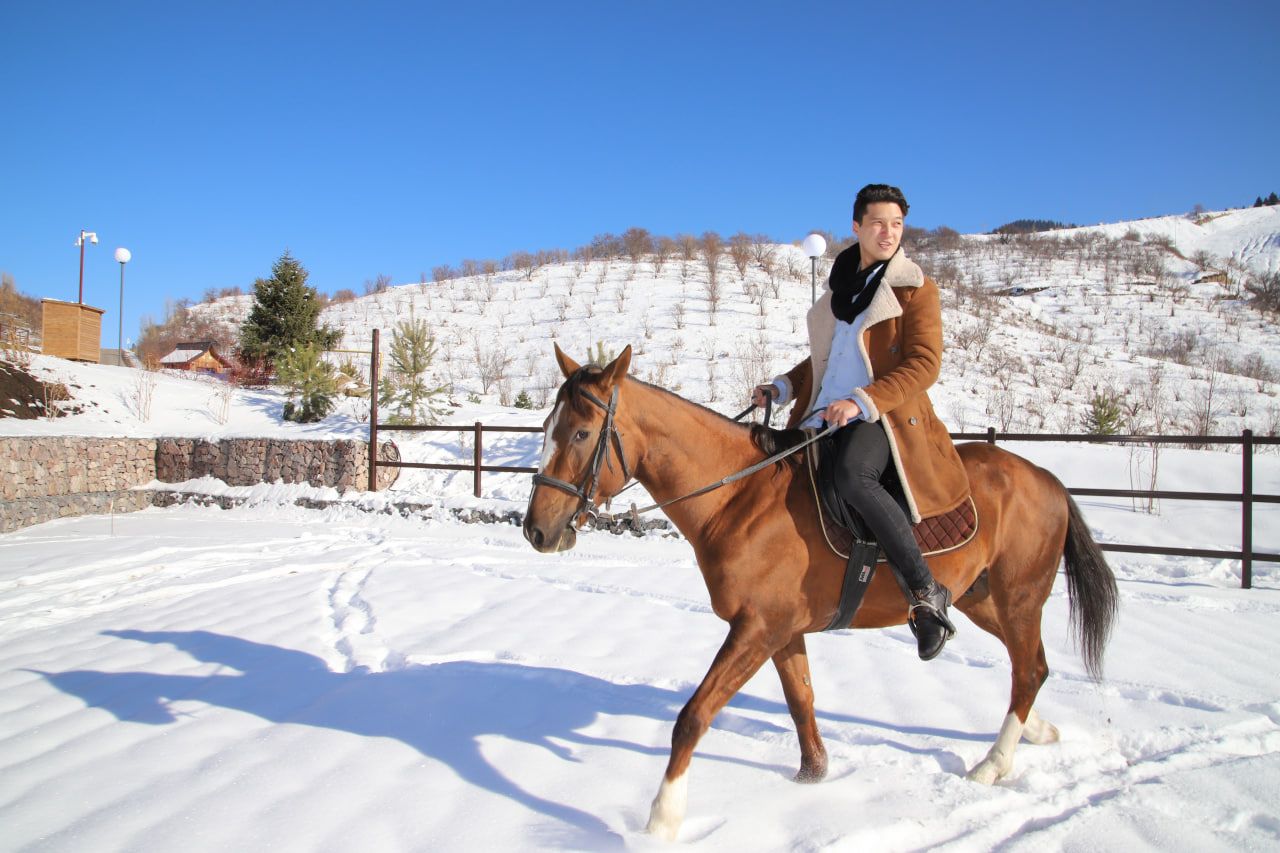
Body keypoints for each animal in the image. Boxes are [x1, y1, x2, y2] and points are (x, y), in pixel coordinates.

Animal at [522, 344, 1118, 842]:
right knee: (1030, 666)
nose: (537, 532)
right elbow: (801, 700)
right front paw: (813, 777)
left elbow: (693, 716)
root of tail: (1046, 478)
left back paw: (994, 763)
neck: (738, 498)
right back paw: (1036, 732)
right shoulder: (781, 631)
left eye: (581, 434)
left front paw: (662, 820)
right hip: (982, 598)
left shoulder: (756, 629)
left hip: (1017, 597)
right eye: (548, 428)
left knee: (1030, 668)